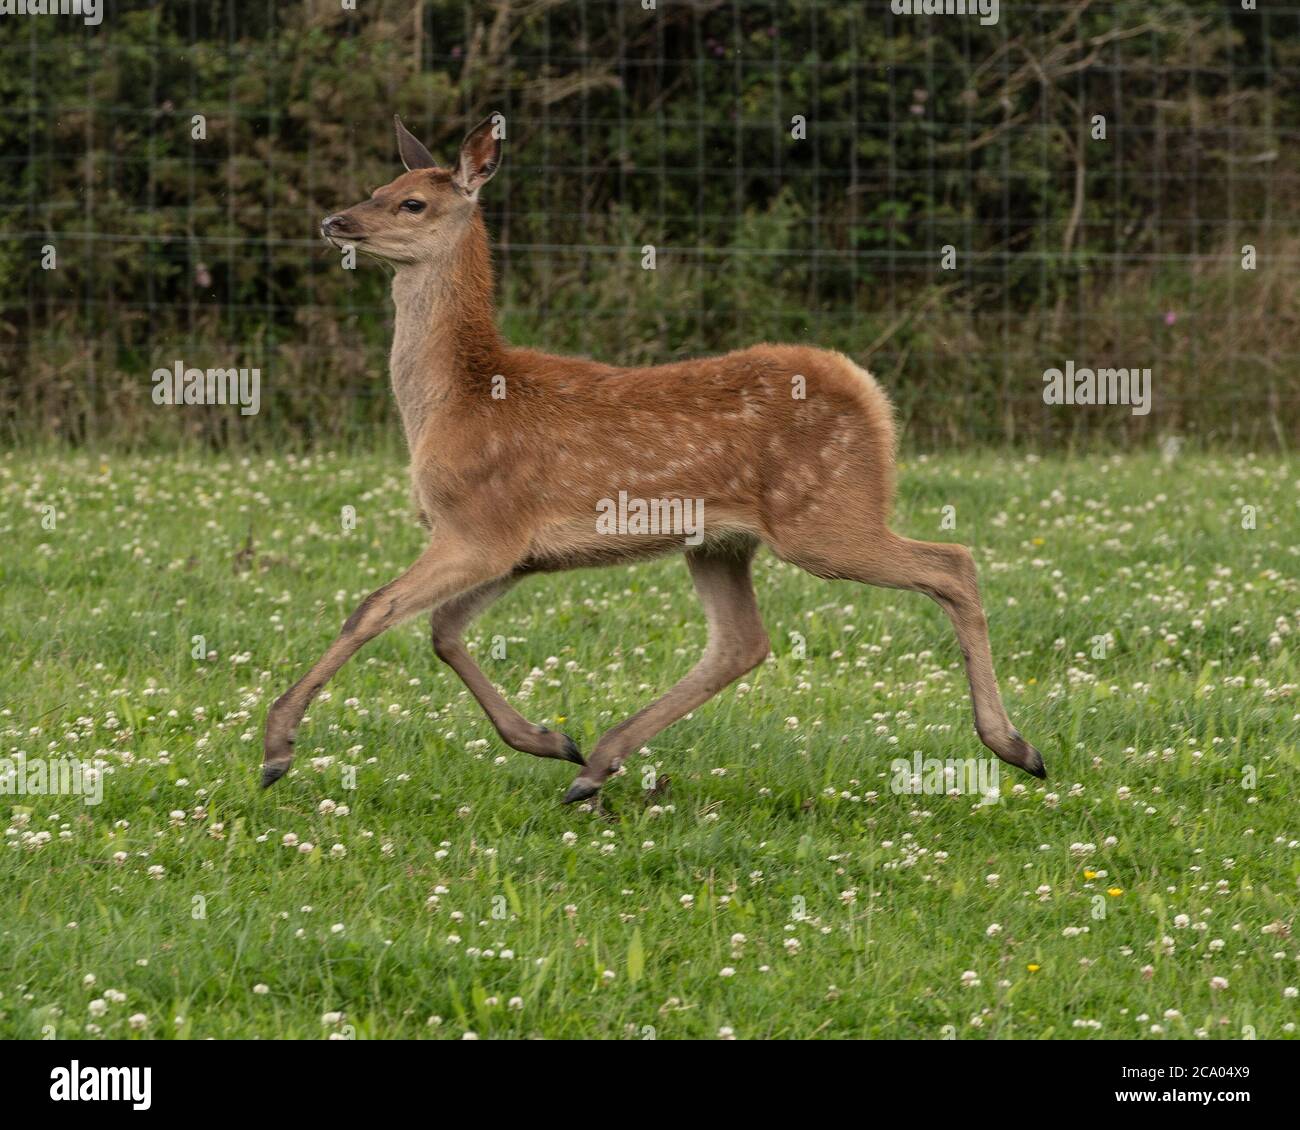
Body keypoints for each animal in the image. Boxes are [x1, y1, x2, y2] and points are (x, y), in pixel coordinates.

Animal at [262, 113, 1046, 805]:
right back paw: (594, 765)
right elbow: (443, 633)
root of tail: (871, 396)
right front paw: (548, 739)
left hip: (824, 515)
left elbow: (370, 610)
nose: (336, 221)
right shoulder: (514, 551)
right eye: (378, 184)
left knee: (952, 562)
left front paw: (276, 747)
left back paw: (1015, 746)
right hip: (722, 541)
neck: (456, 400)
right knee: (743, 642)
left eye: (412, 201)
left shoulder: (481, 526)